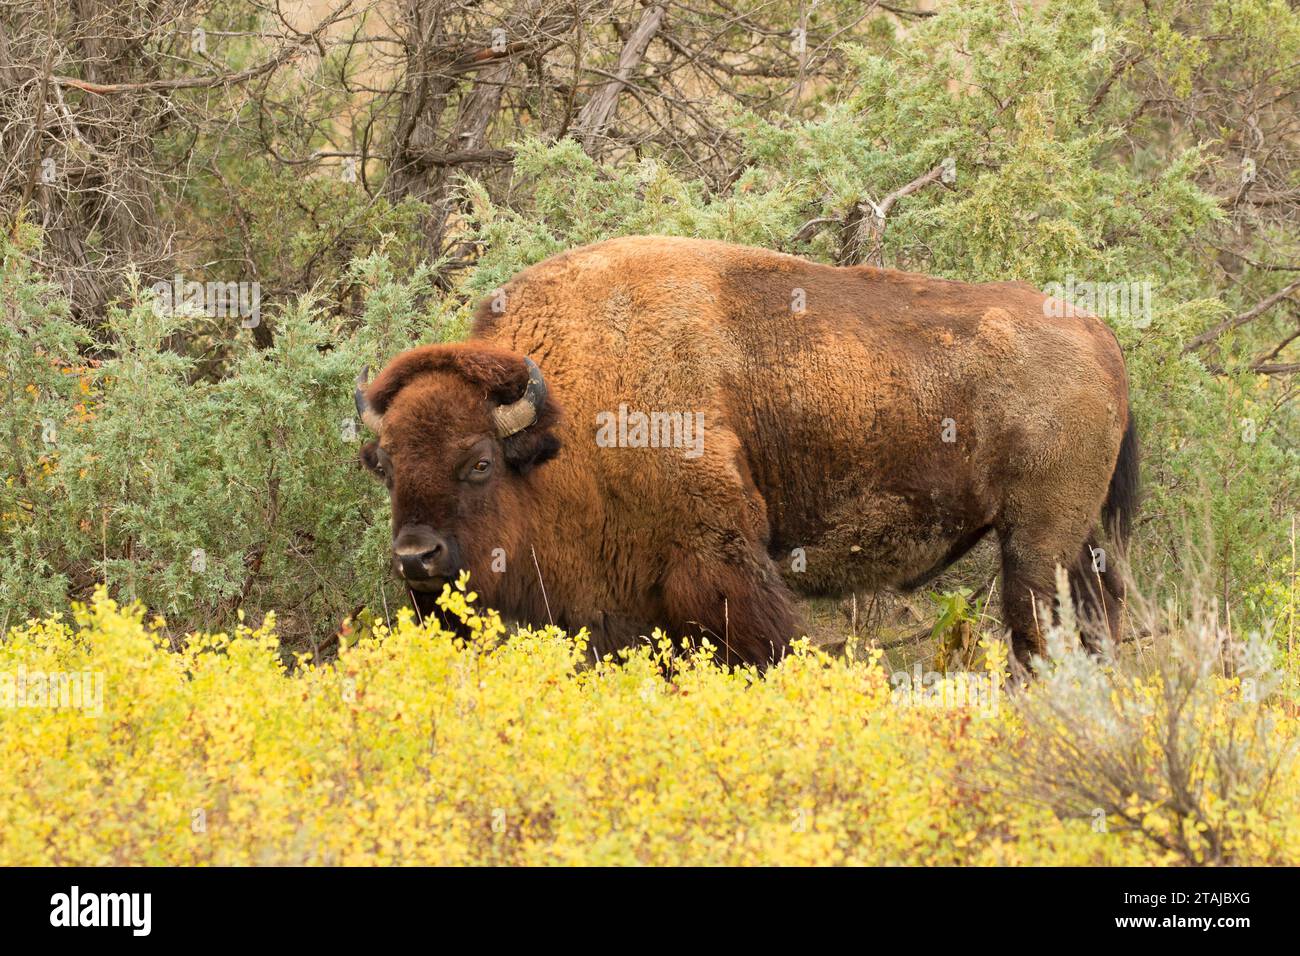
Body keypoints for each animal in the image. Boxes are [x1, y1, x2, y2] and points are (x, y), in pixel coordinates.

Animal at [356, 236, 1137, 670]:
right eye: (386, 466)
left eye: (479, 462)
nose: (416, 558)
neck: (571, 415)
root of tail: (1097, 332)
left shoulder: (718, 564)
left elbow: (776, 649)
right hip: (1082, 539)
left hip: (1035, 541)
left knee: (1039, 629)